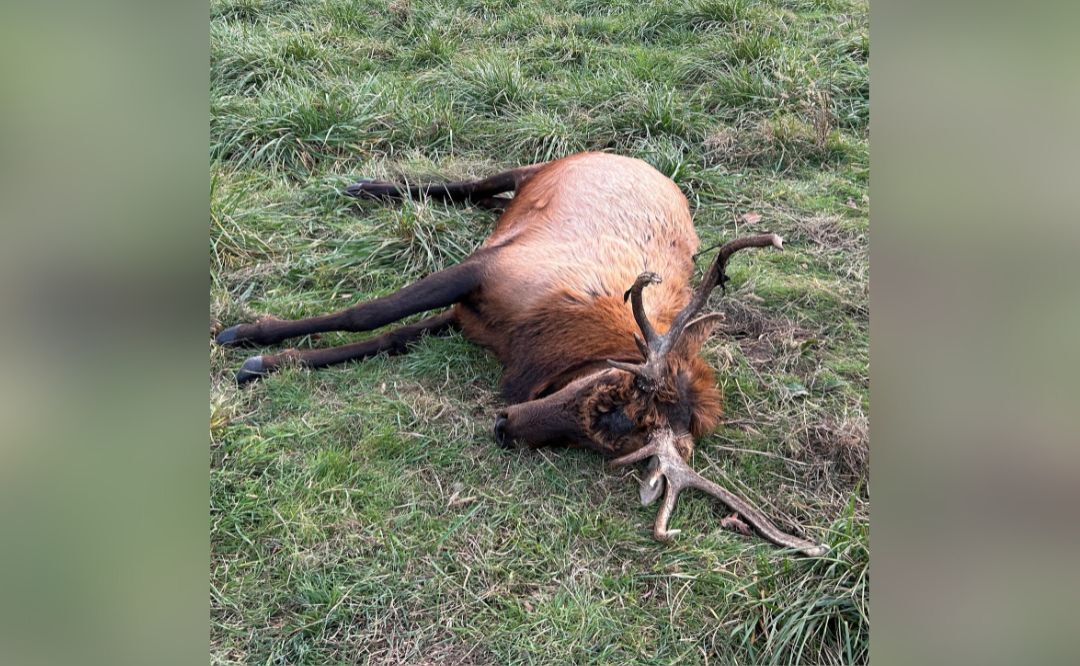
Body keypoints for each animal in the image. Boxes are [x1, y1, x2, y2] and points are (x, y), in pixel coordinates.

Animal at [215, 152, 827, 557]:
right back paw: (368, 186)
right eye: (603, 393)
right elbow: (367, 313)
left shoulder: (470, 320)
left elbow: (386, 339)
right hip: (536, 168)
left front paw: (268, 361)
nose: (504, 425)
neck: (535, 340)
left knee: (489, 199)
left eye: (605, 447)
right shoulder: (482, 272)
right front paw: (245, 335)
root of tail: (640, 160)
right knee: (472, 183)